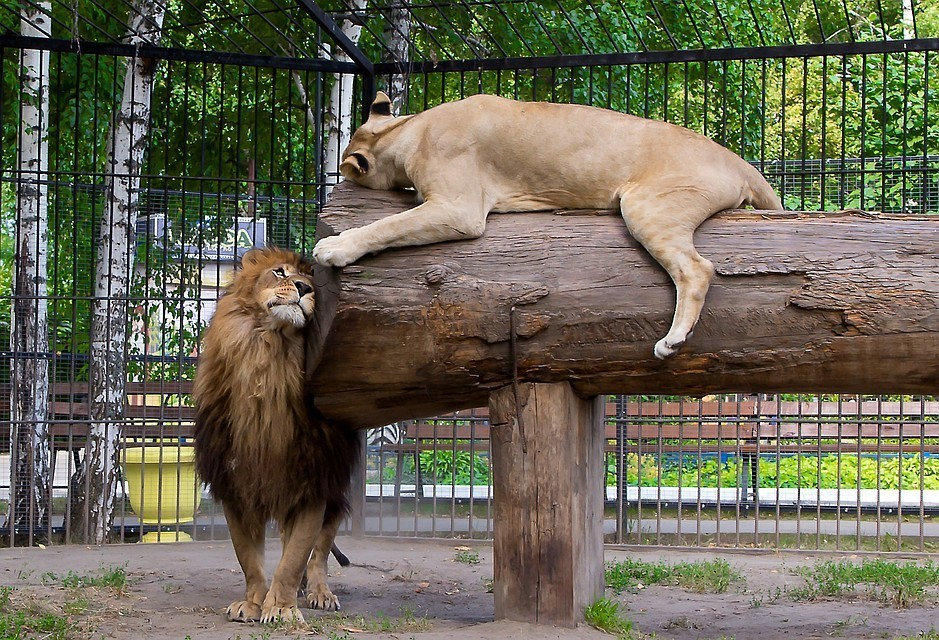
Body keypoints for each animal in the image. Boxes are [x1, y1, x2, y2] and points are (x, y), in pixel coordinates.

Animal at [195, 248, 360, 624]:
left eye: (312, 280)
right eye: (280, 272)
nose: (303, 288)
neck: (269, 355)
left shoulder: (314, 482)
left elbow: (296, 557)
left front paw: (282, 608)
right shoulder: (235, 484)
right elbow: (248, 558)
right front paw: (254, 603)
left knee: (320, 551)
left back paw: (318, 593)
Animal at [312, 93, 784, 360]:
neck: (408, 129)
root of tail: (743, 163)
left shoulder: (458, 207)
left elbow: (388, 224)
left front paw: (334, 247)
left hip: (646, 204)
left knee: (697, 269)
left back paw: (671, 341)